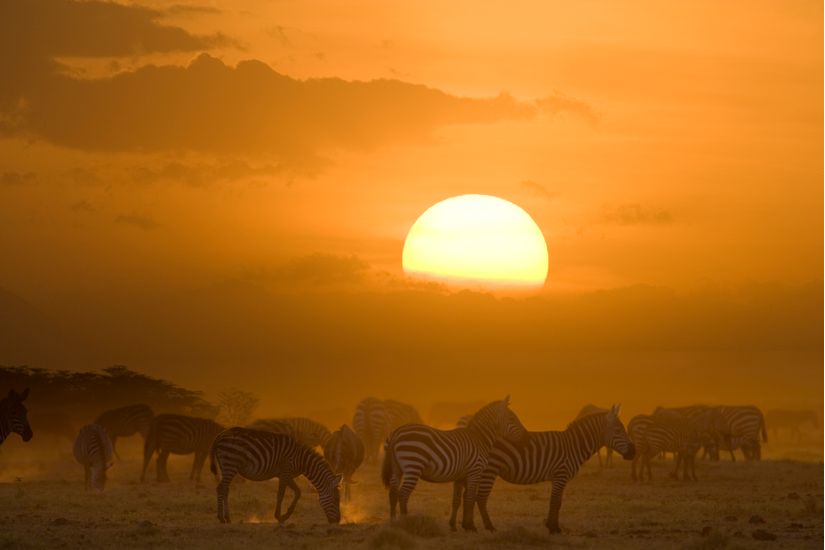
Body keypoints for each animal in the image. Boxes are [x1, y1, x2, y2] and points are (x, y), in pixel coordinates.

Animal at [210, 427, 342, 524]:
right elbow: (281, 495)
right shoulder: (285, 472)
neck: (302, 460)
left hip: (226, 466)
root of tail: (220, 435)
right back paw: (222, 518)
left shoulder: (287, 475)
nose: (337, 521)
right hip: (230, 463)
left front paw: (287, 514)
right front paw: (279, 516)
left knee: (225, 489)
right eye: (336, 499)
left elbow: (298, 492)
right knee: (221, 488)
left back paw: (227, 517)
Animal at [381, 397, 527, 531]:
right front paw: (470, 527)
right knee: (403, 494)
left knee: (393, 494)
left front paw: (456, 526)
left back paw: (393, 523)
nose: (526, 436)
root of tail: (396, 432)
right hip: (413, 466)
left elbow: (458, 500)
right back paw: (405, 523)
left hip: (397, 469)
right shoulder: (475, 471)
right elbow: (470, 498)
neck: (479, 439)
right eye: (512, 419)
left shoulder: (461, 476)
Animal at [468, 405, 634, 534]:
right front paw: (553, 528)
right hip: (489, 470)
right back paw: (490, 527)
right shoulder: (560, 475)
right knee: (481, 498)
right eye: (618, 430)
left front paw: (554, 527)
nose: (634, 452)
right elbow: (555, 502)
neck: (574, 446)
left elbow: (558, 502)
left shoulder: (561, 478)